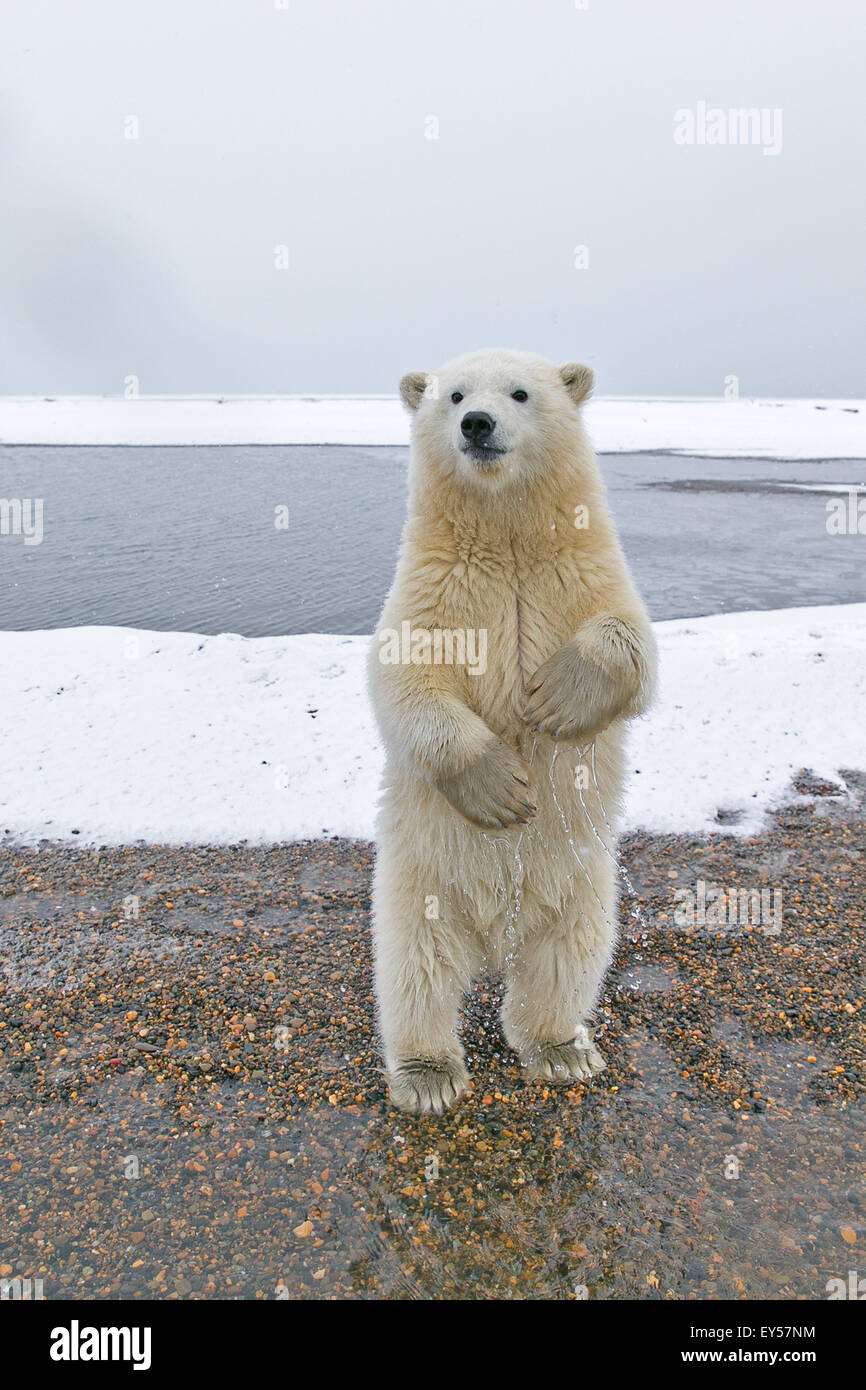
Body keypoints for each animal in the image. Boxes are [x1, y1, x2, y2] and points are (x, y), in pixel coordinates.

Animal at [368, 348, 656, 1114]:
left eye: (521, 393)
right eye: (453, 394)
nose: (477, 422)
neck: (507, 535)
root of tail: (497, 935)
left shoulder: (585, 570)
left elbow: (632, 644)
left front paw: (555, 699)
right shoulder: (435, 590)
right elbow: (407, 680)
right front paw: (501, 788)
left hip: (584, 883)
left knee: (566, 960)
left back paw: (561, 1049)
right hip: (423, 879)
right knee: (416, 968)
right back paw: (429, 1073)